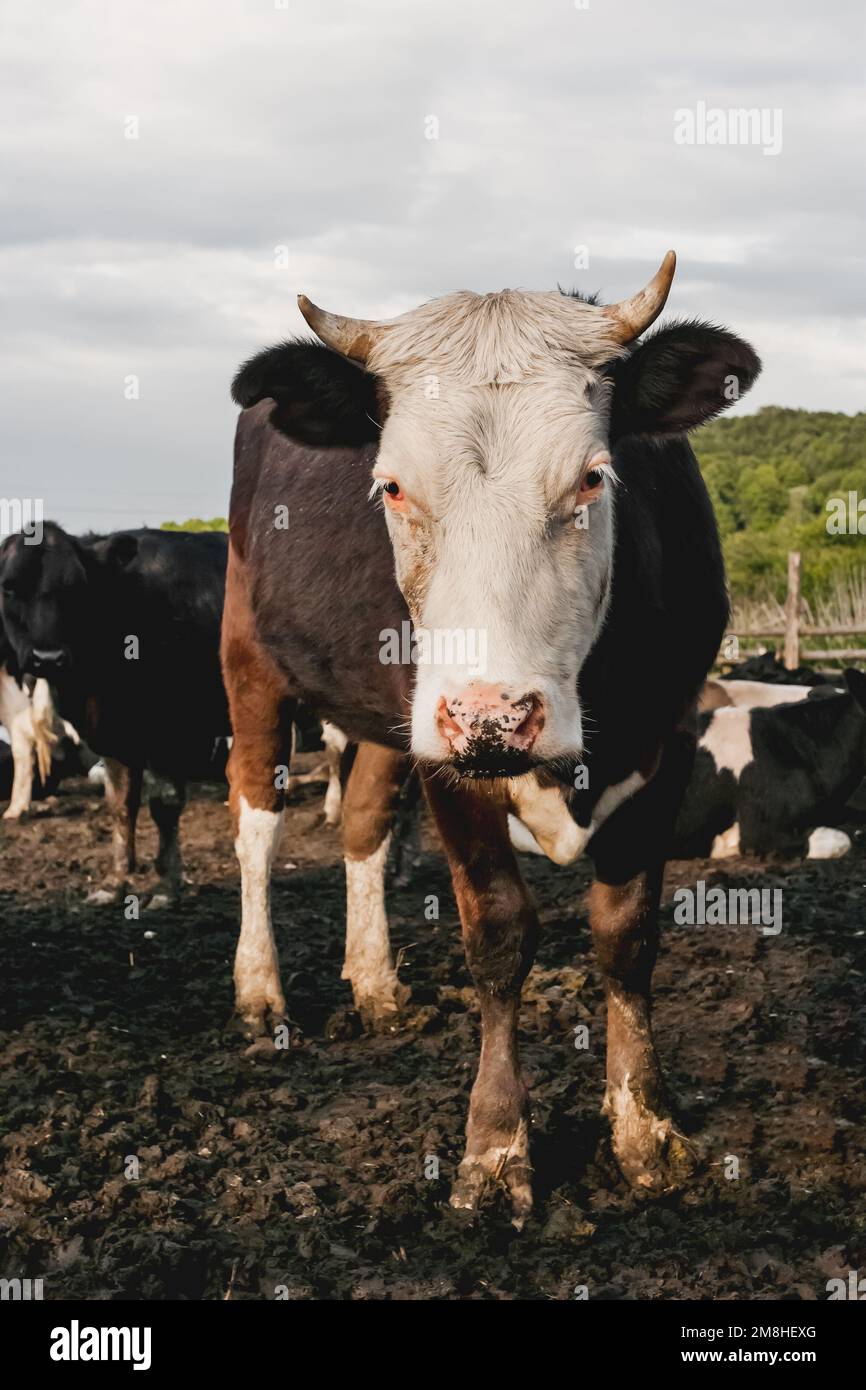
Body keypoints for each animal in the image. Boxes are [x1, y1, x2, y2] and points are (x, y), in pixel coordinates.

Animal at [0, 524, 230, 905]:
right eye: (8, 586)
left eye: (75, 588)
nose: (48, 658)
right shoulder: (115, 735)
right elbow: (121, 804)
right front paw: (114, 883)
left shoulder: (175, 730)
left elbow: (164, 803)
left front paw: (167, 886)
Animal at [222, 251, 761, 1222]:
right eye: (391, 485)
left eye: (592, 477)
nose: (493, 714)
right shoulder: (452, 763)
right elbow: (500, 931)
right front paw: (497, 1146)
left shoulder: (670, 734)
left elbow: (626, 935)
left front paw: (646, 1130)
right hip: (255, 665)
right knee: (255, 826)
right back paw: (261, 993)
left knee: (364, 822)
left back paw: (378, 985)